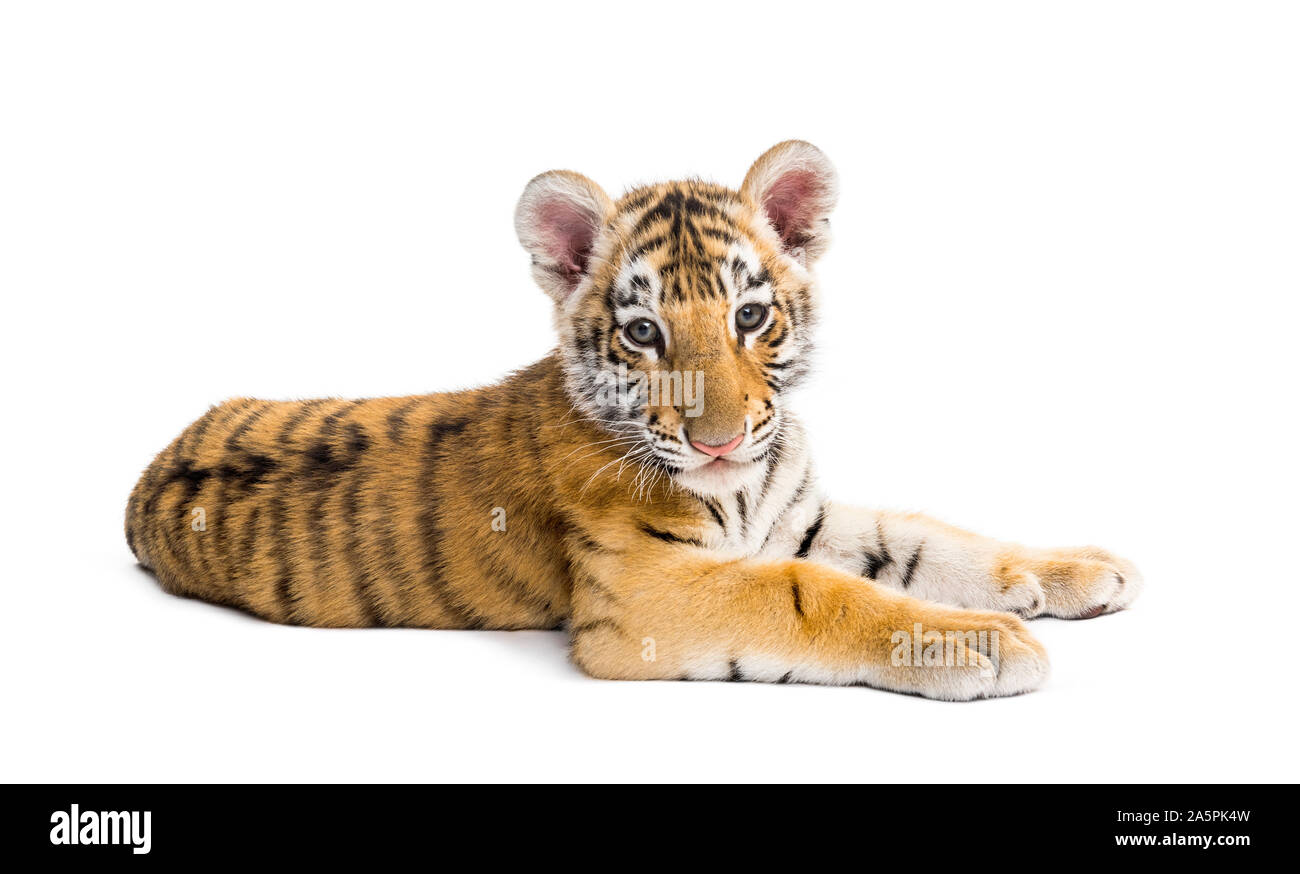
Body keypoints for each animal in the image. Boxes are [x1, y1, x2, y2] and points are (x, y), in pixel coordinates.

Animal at [125, 141, 1142, 701]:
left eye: (750, 317)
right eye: (644, 332)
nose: (719, 442)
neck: (744, 490)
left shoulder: (800, 513)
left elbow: (928, 537)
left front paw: (1076, 572)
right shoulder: (647, 593)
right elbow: (810, 594)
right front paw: (977, 641)